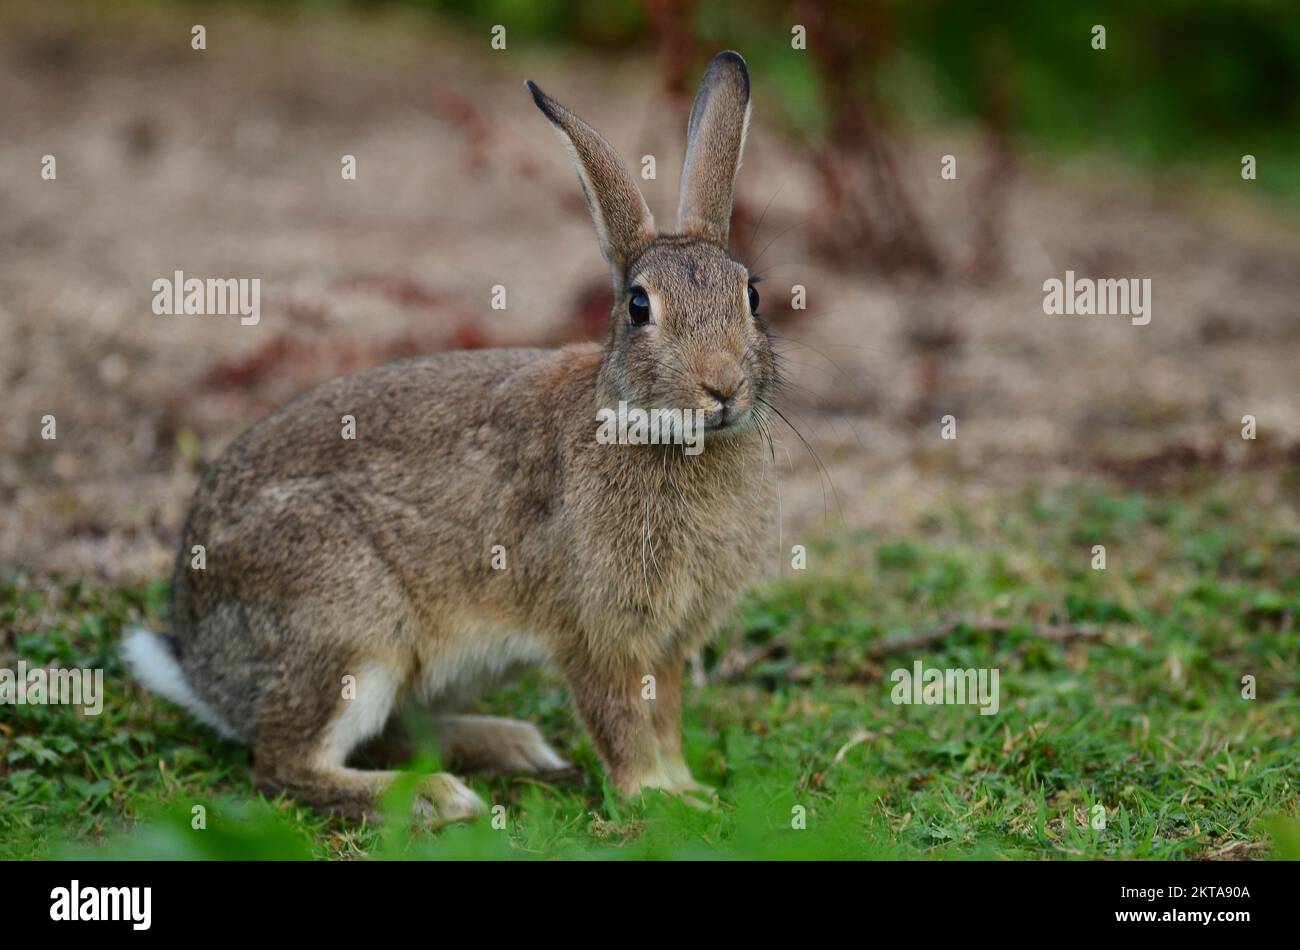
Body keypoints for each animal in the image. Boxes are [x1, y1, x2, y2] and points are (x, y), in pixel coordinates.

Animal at [123, 50, 777, 826]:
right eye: (639, 306)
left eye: (752, 294)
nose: (723, 387)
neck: (656, 433)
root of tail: (198, 663)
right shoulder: (596, 632)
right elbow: (621, 722)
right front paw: (656, 797)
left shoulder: (669, 645)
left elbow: (667, 718)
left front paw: (688, 789)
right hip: (351, 630)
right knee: (283, 765)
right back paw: (438, 797)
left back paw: (512, 747)